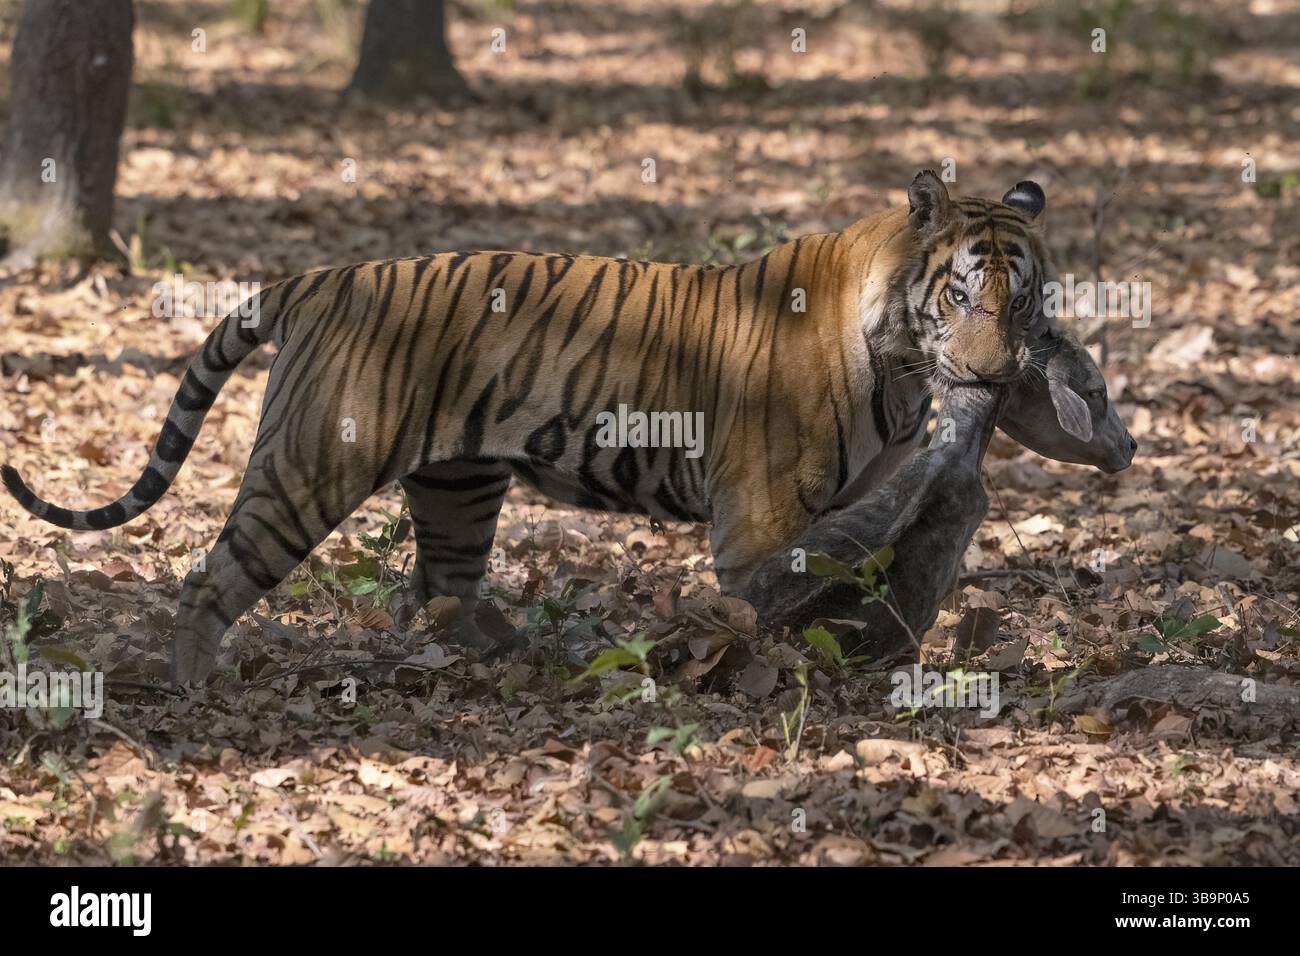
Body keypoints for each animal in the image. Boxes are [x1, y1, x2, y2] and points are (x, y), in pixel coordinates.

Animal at [3, 170, 1059, 683]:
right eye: (962, 292)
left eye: (1023, 297)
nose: (998, 376)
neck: (903, 360)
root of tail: (323, 277)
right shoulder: (763, 516)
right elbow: (772, 599)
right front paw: (781, 672)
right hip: (308, 470)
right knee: (211, 576)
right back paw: (193, 687)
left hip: (460, 488)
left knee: (441, 595)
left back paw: (514, 657)